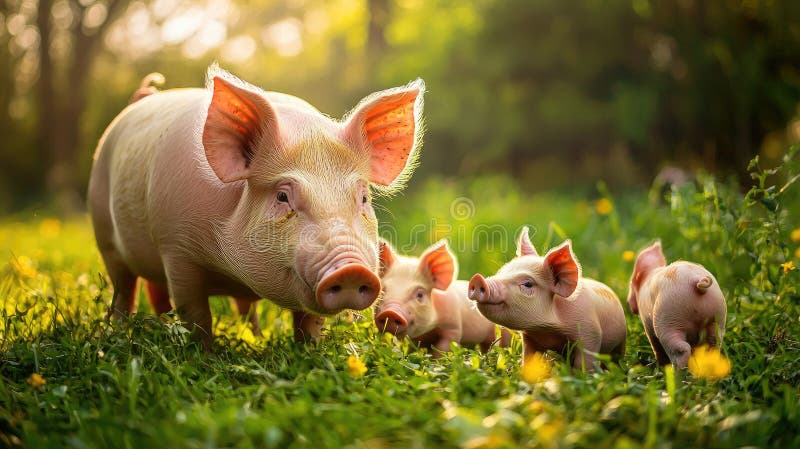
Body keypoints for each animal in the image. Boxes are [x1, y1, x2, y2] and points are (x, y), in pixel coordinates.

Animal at [88, 65, 425, 348]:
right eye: (282, 197)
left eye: (363, 198)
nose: (353, 269)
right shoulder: (176, 249)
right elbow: (195, 313)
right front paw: (204, 355)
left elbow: (309, 321)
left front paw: (312, 351)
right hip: (104, 233)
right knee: (125, 288)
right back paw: (119, 332)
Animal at [373, 239, 511, 355]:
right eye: (382, 291)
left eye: (420, 294)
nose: (390, 312)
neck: (429, 332)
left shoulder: (453, 326)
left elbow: (443, 348)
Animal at [468, 227, 627, 371]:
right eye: (501, 272)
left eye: (528, 284)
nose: (477, 278)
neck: (548, 330)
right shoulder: (529, 337)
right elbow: (529, 358)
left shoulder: (590, 332)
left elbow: (584, 361)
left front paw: (582, 375)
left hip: (621, 340)